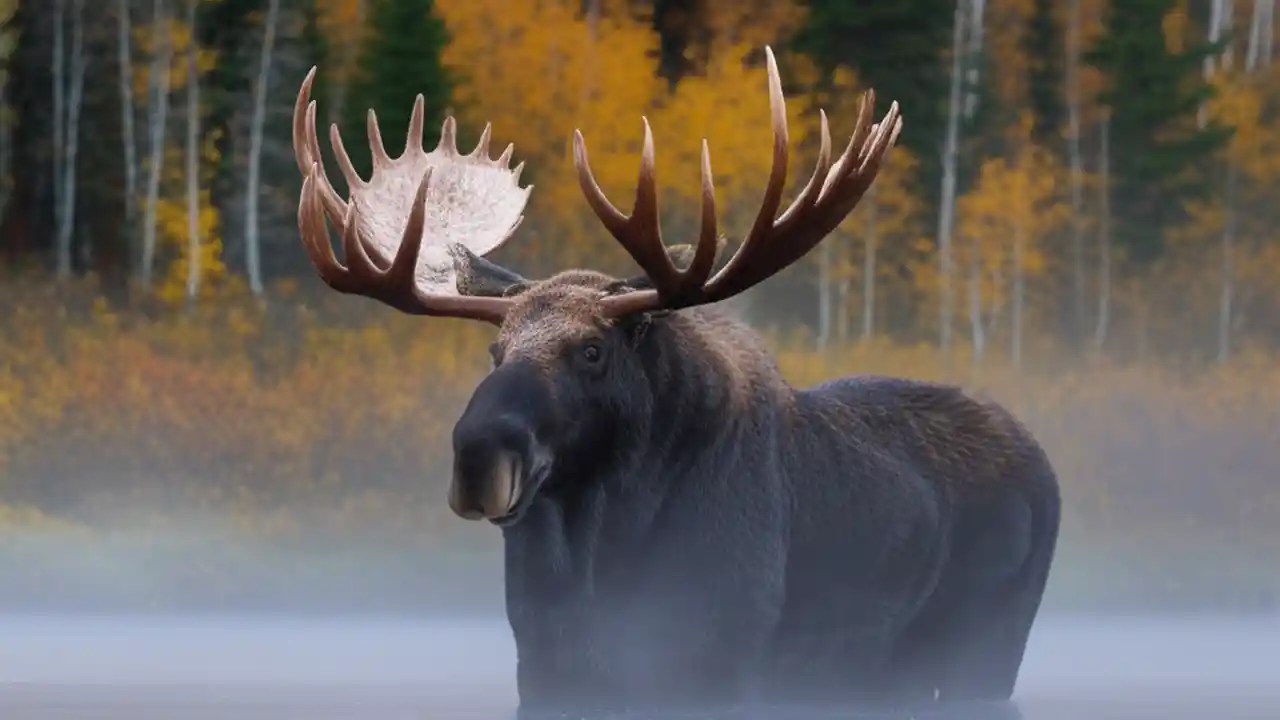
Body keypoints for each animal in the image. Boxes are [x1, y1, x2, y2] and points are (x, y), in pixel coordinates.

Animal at [291, 46, 1060, 719]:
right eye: (494, 348)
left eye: (593, 350)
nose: (479, 455)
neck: (599, 551)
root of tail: (1044, 466)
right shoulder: (541, 669)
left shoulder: (722, 663)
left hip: (985, 652)